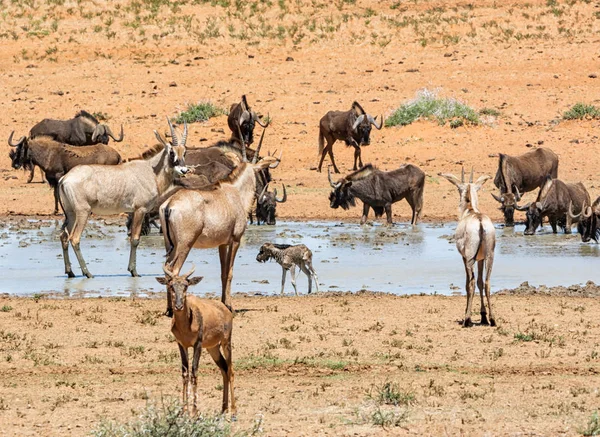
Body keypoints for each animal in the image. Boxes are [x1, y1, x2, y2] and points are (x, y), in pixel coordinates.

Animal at [59, 117, 189, 278]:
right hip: (83, 212)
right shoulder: (140, 210)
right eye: (171, 152)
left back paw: (70, 272)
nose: (184, 170)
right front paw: (134, 271)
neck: (151, 170)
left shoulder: (134, 211)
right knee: (74, 238)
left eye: (185, 152)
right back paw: (87, 273)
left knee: (64, 236)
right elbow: (135, 239)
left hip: (70, 213)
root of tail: (65, 179)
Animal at [156, 264, 236, 414]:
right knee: (223, 369)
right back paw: (223, 408)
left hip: (226, 342)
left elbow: (194, 372)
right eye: (171, 285)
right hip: (212, 348)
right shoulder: (182, 345)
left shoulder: (197, 345)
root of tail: (225, 309)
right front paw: (183, 410)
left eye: (186, 285)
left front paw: (194, 411)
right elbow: (185, 373)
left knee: (230, 370)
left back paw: (234, 410)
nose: (179, 306)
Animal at [159, 129, 282, 314]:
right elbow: (230, 272)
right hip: (185, 244)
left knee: (166, 269)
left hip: (170, 245)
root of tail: (170, 204)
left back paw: (168, 309)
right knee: (174, 269)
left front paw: (224, 303)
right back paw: (174, 309)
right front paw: (230, 305)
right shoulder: (236, 240)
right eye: (258, 173)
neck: (236, 191)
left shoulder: (222, 244)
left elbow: (223, 272)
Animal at [440, 167, 496, 328]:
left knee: (470, 283)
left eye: (458, 188)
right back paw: (492, 319)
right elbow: (480, 282)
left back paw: (467, 319)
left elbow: (468, 283)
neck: (470, 210)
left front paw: (469, 316)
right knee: (487, 282)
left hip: (470, 258)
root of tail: (480, 221)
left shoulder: (464, 257)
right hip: (490, 257)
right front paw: (483, 317)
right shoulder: (481, 259)